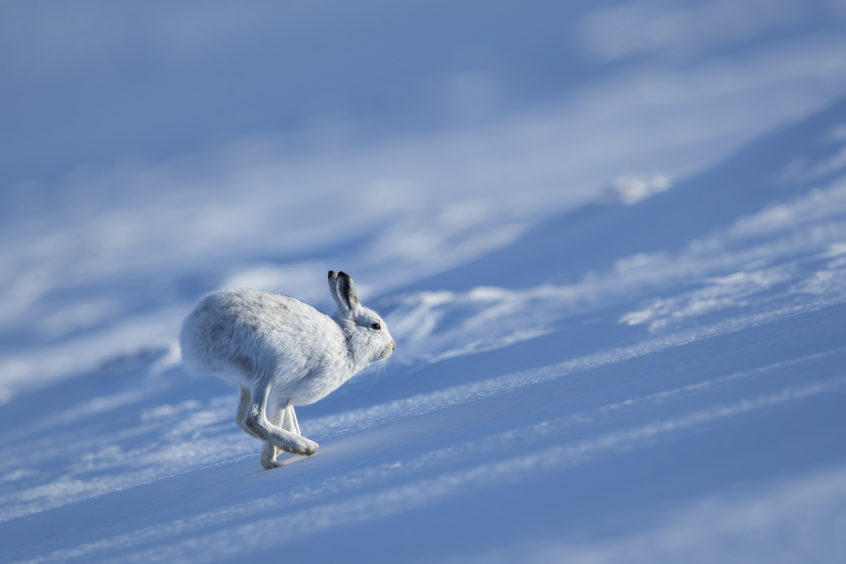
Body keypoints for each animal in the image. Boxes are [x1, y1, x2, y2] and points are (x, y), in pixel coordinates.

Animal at [179, 271, 395, 469]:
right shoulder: (284, 393)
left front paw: (275, 453)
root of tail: (194, 332)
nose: (392, 347)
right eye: (376, 326)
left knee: (241, 419)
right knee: (253, 419)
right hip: (264, 368)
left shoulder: (284, 396)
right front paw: (276, 455)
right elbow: (278, 421)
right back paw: (304, 447)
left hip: (246, 383)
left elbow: (290, 422)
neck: (346, 341)